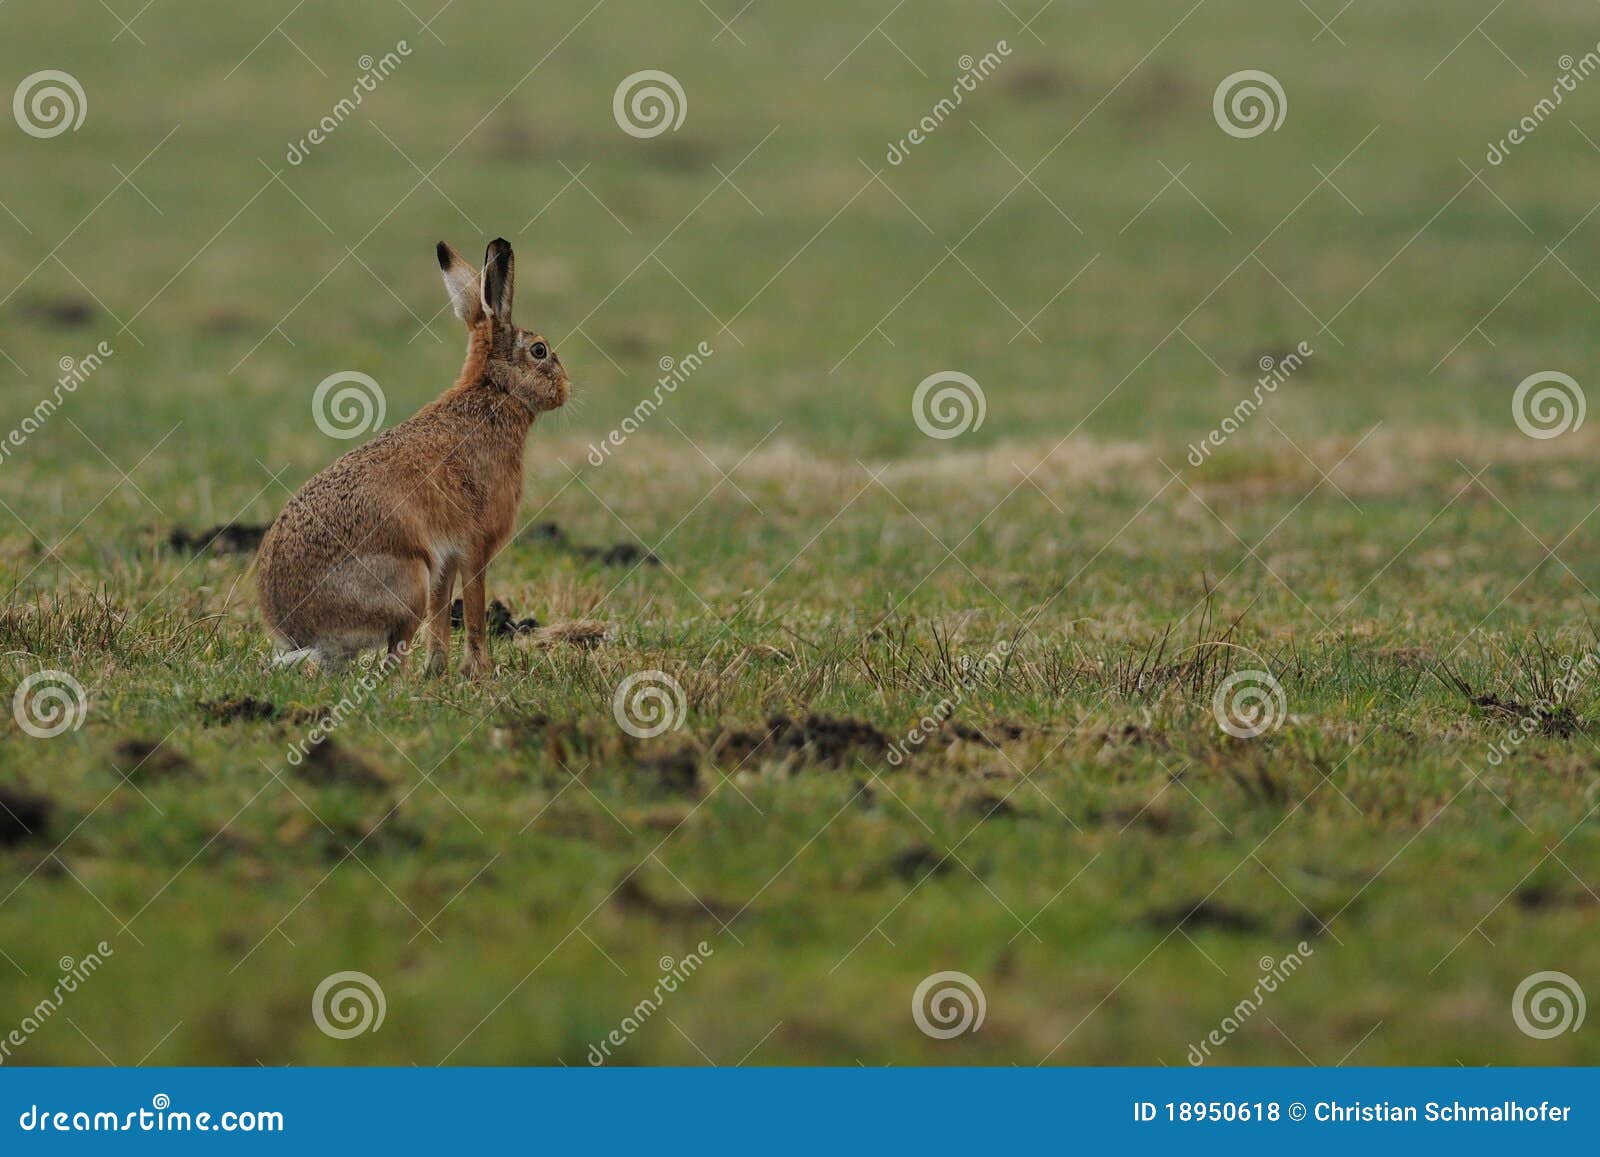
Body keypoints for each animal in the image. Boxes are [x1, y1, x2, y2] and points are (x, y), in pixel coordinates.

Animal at [257, 237, 571, 676]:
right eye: (539, 351)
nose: (566, 389)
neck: (494, 393)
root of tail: (305, 634)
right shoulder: (475, 548)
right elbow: (474, 614)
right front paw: (480, 673)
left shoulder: (445, 562)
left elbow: (441, 618)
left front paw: (439, 672)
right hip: (407, 582)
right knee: (393, 658)